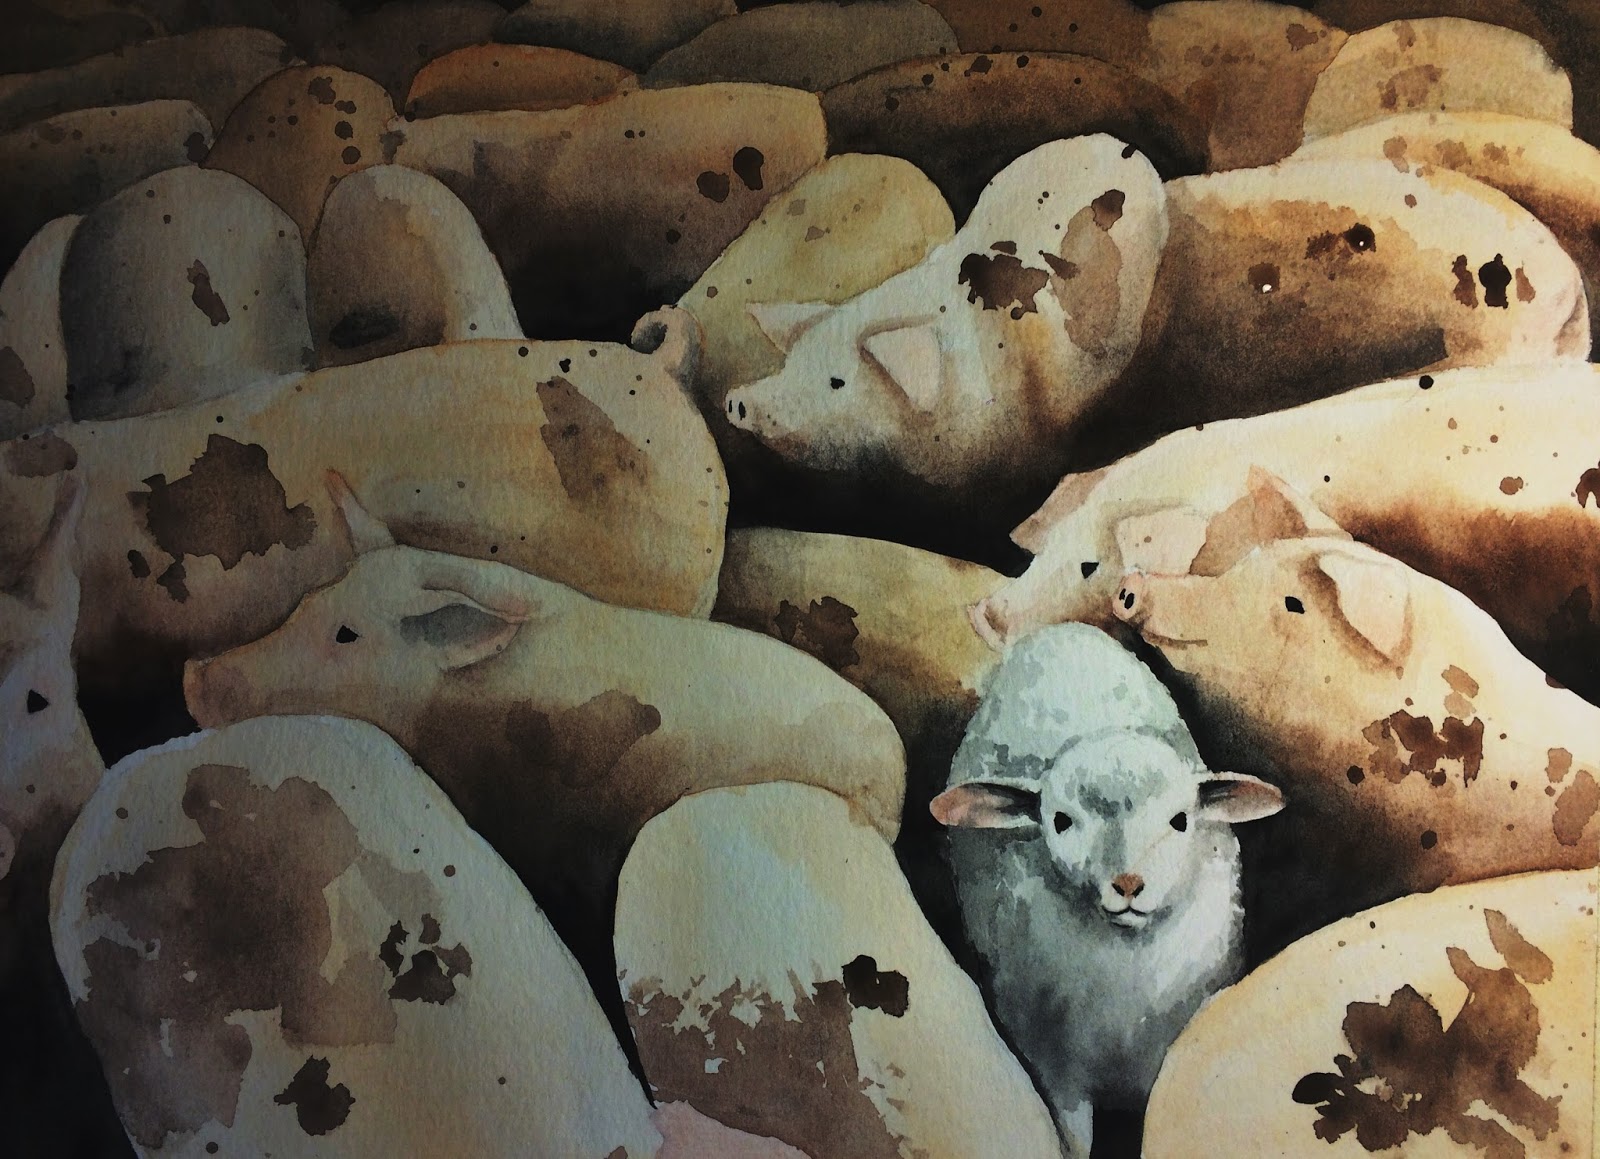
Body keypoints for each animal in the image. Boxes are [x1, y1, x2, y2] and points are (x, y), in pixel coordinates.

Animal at [931, 622, 1284, 1156]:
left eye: (1180, 820)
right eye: (1060, 821)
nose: (1128, 883)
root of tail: (1063, 631)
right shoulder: (1057, 1073)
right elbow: (1075, 1142)